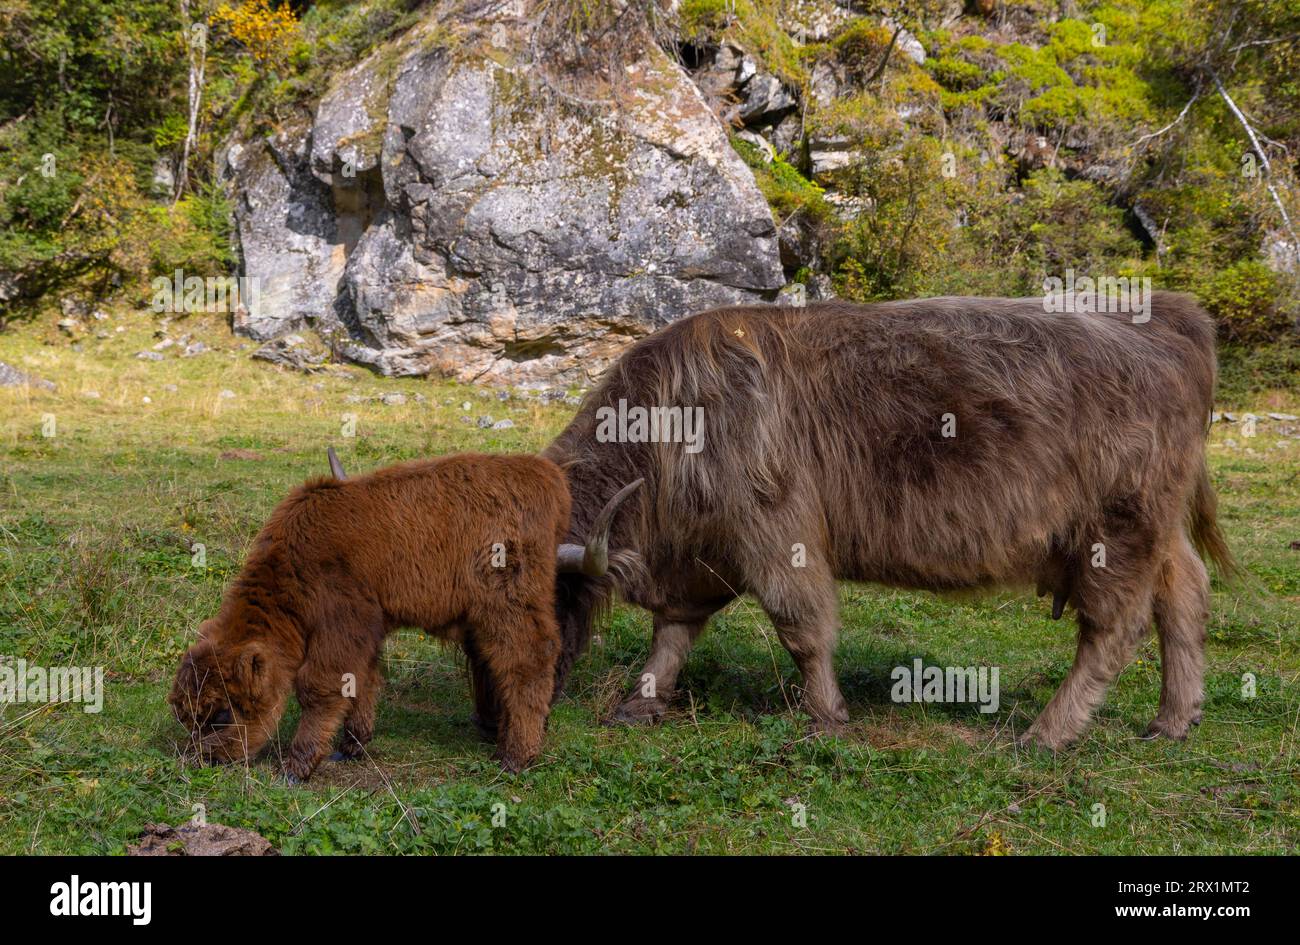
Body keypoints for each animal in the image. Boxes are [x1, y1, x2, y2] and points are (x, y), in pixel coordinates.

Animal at [168, 449, 641, 781]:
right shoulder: (367, 631)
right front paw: (351, 746)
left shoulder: (342, 625)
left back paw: (515, 758)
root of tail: (546, 478)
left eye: (222, 713)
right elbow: (363, 681)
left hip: (506, 605)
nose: (202, 758)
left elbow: (320, 686)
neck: (294, 563)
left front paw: (296, 769)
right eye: (187, 715)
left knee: (528, 660)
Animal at [543, 292, 1235, 750]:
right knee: (1185, 596)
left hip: (1115, 531)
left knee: (1114, 628)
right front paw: (638, 704)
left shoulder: (774, 532)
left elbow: (801, 628)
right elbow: (673, 633)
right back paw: (1174, 719)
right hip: (1157, 530)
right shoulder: (701, 558)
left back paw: (1047, 733)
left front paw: (827, 717)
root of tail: (1171, 315)